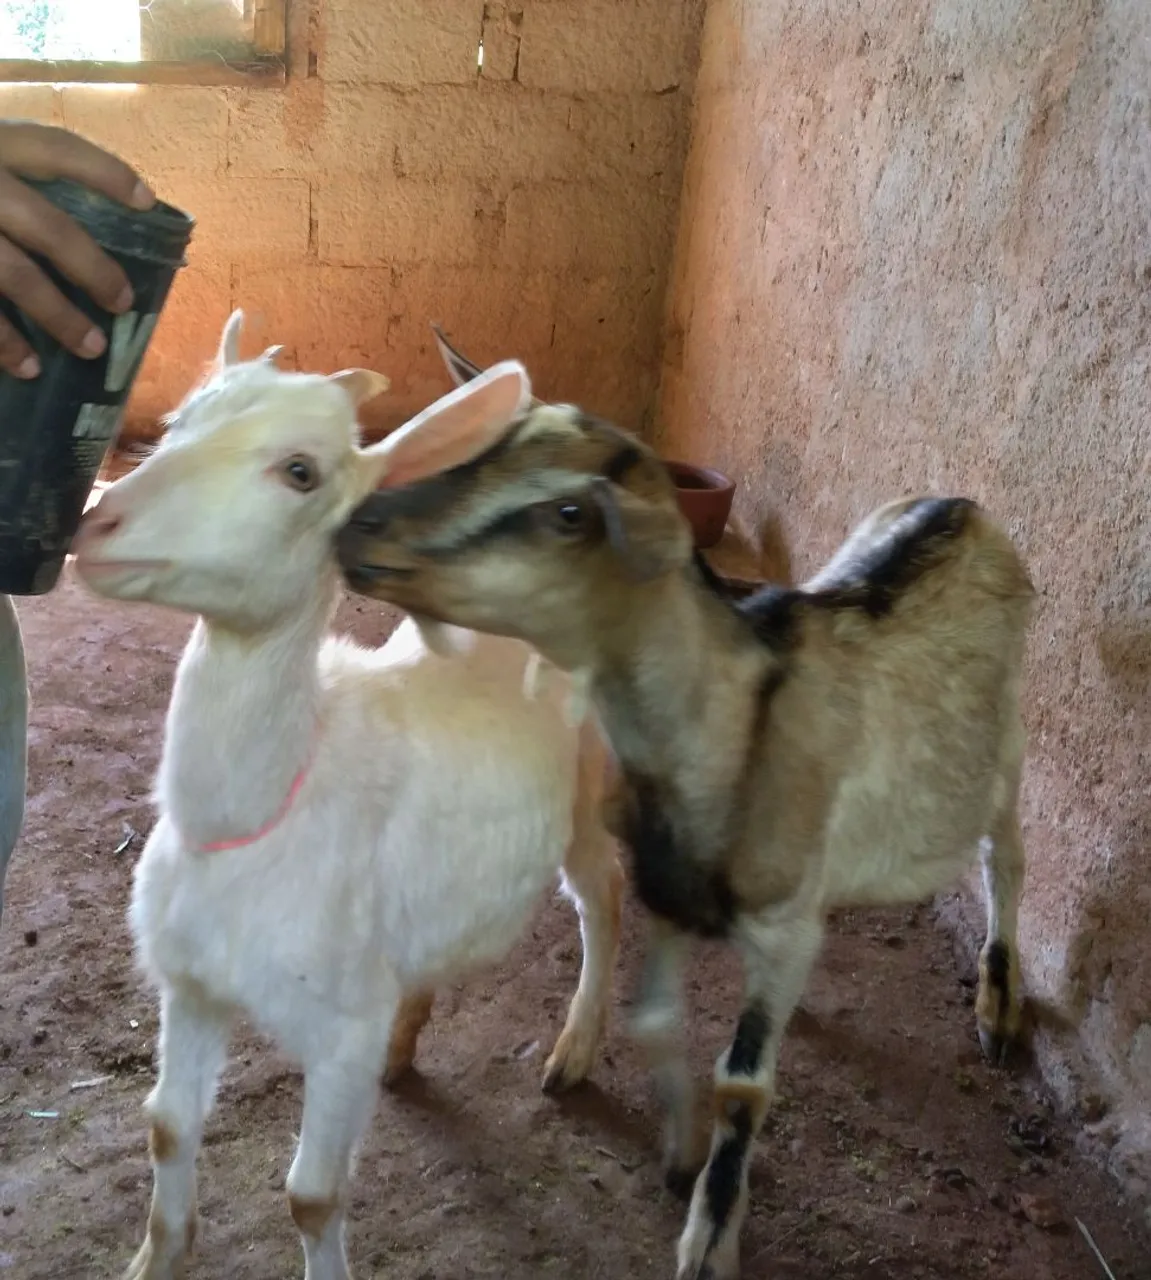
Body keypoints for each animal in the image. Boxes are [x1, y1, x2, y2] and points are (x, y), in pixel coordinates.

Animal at [70, 313, 624, 1280]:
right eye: (175, 422)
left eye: (301, 472)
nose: (99, 520)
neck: (260, 818)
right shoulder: (190, 982)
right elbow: (167, 1128)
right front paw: (152, 1258)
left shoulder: (336, 1031)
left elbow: (312, 1196)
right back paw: (408, 1043)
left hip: (590, 780)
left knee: (603, 897)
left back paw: (574, 1050)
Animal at [334, 349, 1035, 1280]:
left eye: (570, 513)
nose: (355, 527)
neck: (725, 728)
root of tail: (961, 503)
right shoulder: (669, 889)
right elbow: (656, 1018)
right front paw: (676, 1152)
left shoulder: (775, 919)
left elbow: (742, 1080)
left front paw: (708, 1238)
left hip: (1007, 732)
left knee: (1007, 848)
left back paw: (997, 1003)